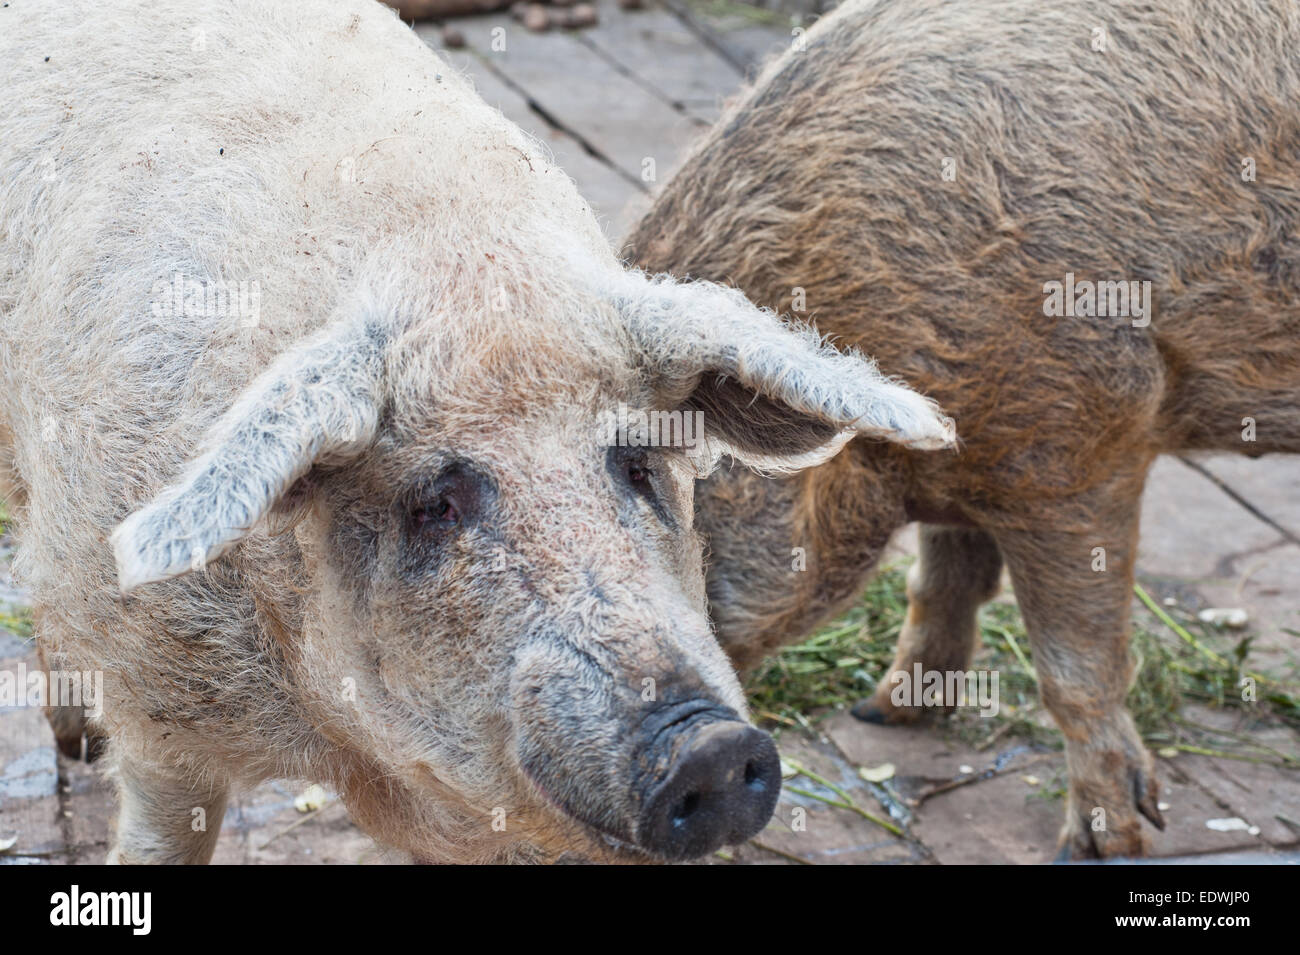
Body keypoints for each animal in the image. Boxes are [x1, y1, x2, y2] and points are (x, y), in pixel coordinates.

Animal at [0, 0, 955, 863]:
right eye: (436, 500)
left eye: (636, 460)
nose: (711, 750)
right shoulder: (153, 702)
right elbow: (160, 831)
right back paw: (71, 741)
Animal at [626, 0, 1300, 859]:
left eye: (662, 494)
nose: (701, 770)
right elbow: (944, 575)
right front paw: (885, 711)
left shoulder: (1082, 439)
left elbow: (1075, 661)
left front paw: (1101, 842)